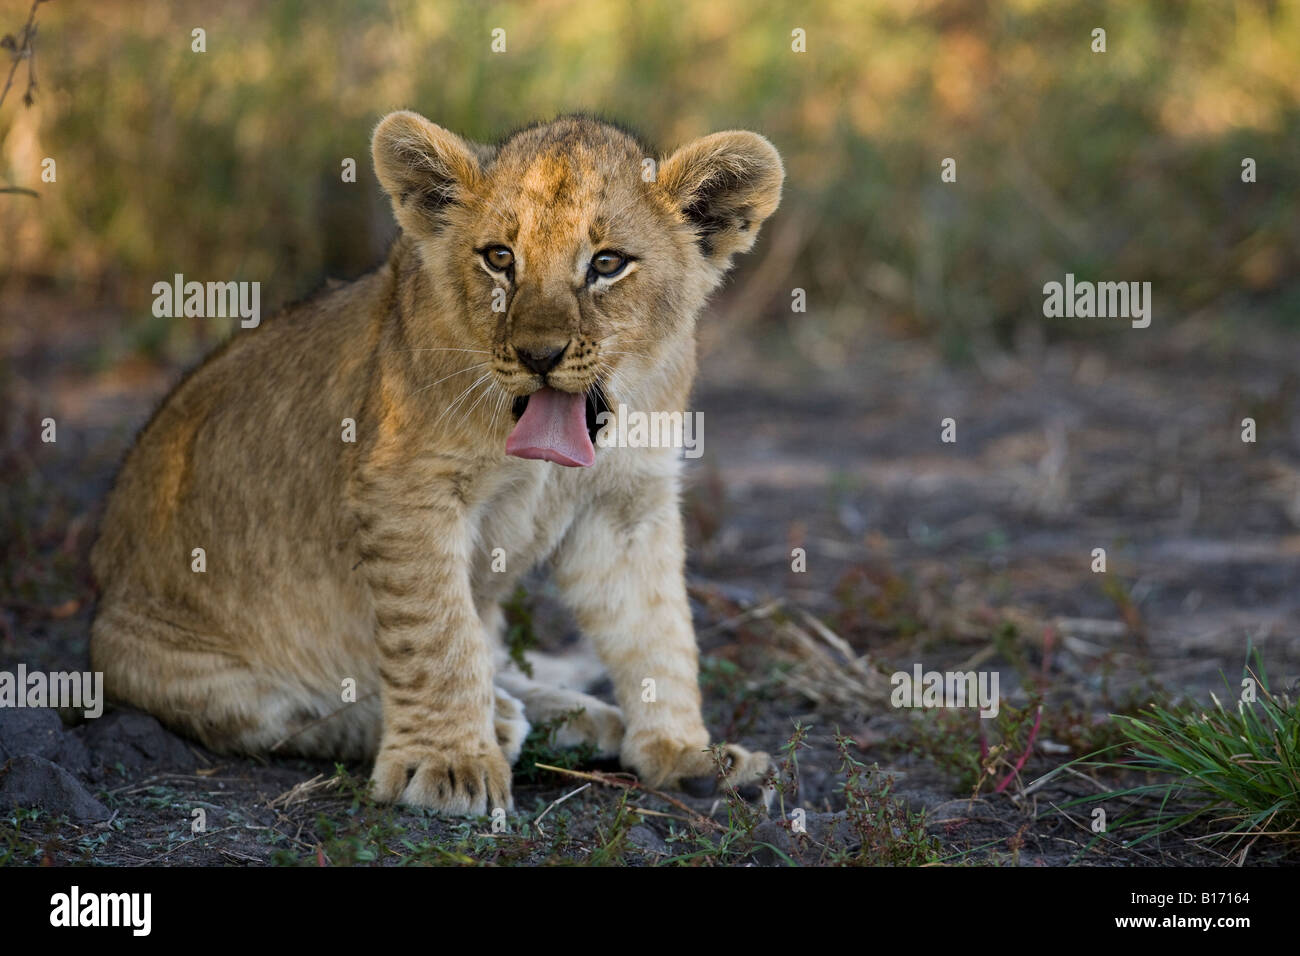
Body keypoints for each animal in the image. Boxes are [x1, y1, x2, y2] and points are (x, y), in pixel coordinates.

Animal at [89, 111, 784, 814]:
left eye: (607, 264)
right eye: (499, 258)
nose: (538, 354)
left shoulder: (626, 508)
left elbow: (658, 631)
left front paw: (687, 754)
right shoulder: (406, 486)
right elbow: (440, 635)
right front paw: (449, 763)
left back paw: (575, 717)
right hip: (169, 660)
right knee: (297, 715)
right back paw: (502, 722)